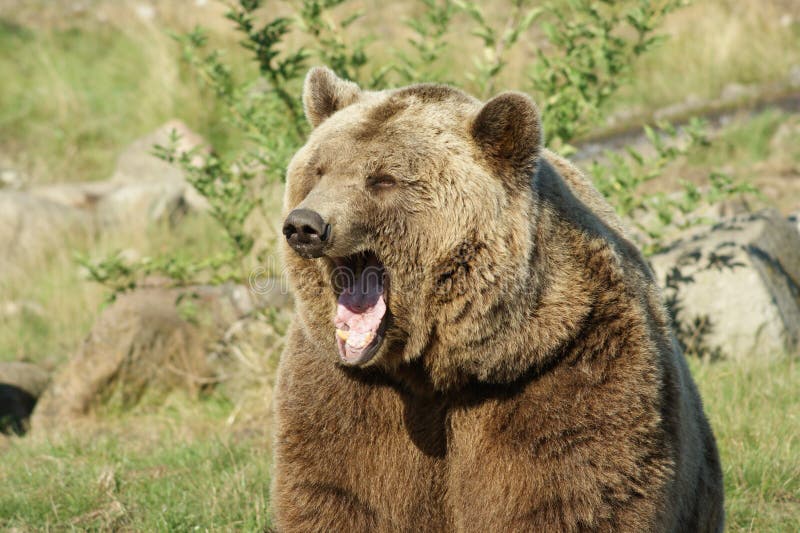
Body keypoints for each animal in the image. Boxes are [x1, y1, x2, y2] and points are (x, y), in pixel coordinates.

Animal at [270, 66, 724, 532]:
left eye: (383, 179)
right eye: (319, 170)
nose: (305, 224)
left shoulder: (568, 360)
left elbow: (575, 492)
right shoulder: (344, 387)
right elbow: (340, 493)